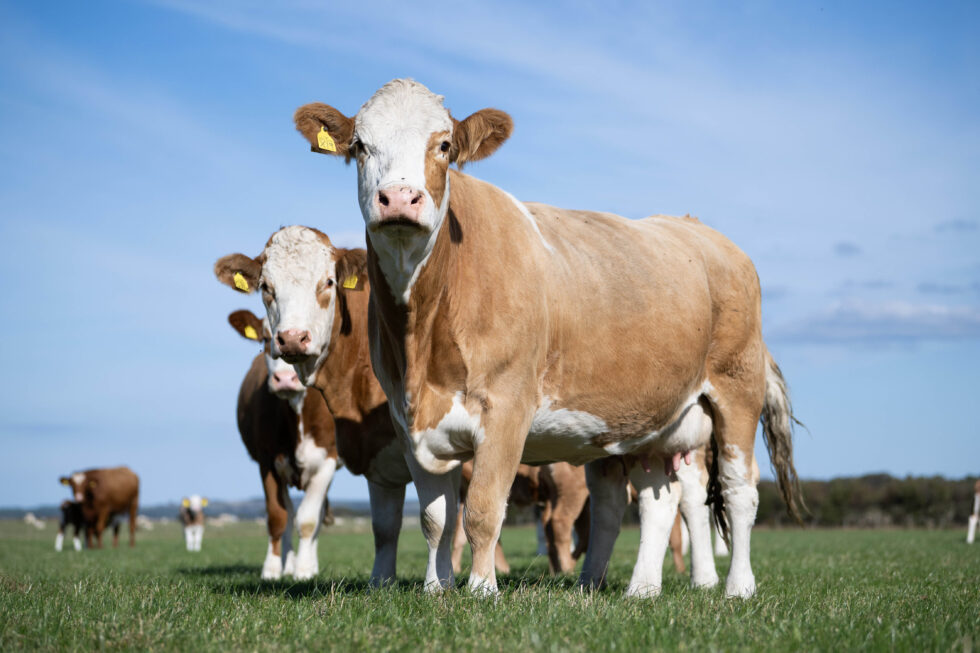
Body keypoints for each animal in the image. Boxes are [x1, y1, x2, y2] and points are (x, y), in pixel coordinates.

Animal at [226, 309, 339, 579]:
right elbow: (278, 518)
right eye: (267, 339)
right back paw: (288, 563)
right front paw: (273, 568)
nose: (285, 379)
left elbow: (309, 519)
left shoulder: (327, 460)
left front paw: (305, 570)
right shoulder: (267, 461)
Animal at [291, 78, 804, 598]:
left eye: (444, 146)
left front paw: (481, 590)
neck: (422, 332)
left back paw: (737, 587)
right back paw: (629, 588)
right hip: (648, 419)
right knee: (651, 502)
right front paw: (437, 590)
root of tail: (703, 231)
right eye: (359, 146)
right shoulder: (408, 419)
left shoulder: (506, 408)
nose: (398, 198)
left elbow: (482, 512)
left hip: (736, 390)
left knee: (739, 491)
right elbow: (437, 520)